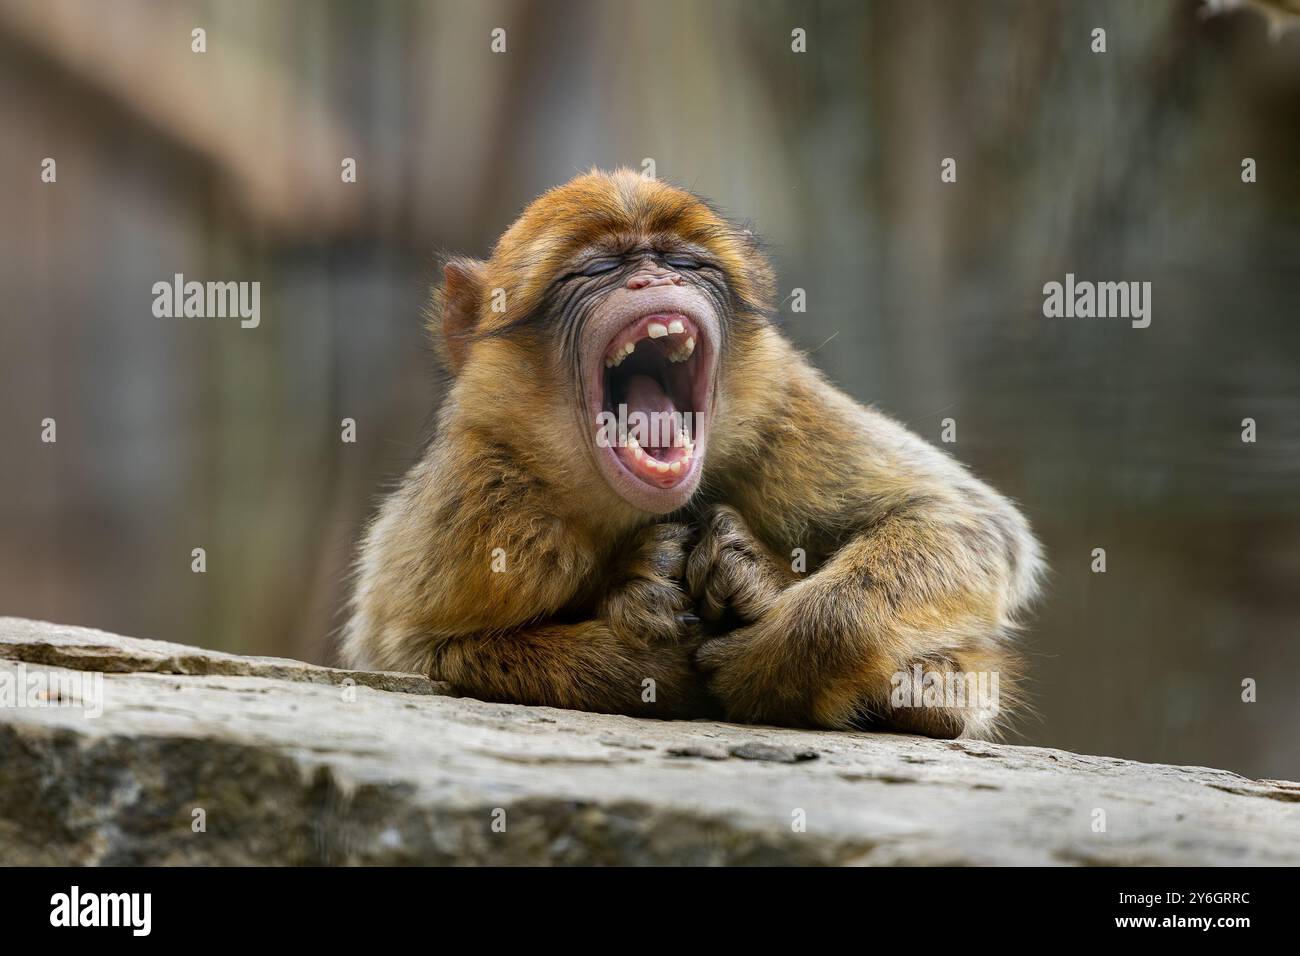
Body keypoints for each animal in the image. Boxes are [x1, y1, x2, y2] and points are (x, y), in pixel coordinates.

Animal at [342, 168, 1044, 739]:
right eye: (594, 270)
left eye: (684, 261)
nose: (655, 277)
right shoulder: (482, 508)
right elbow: (413, 654)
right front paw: (643, 645)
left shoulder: (783, 416)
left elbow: (964, 519)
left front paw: (786, 648)